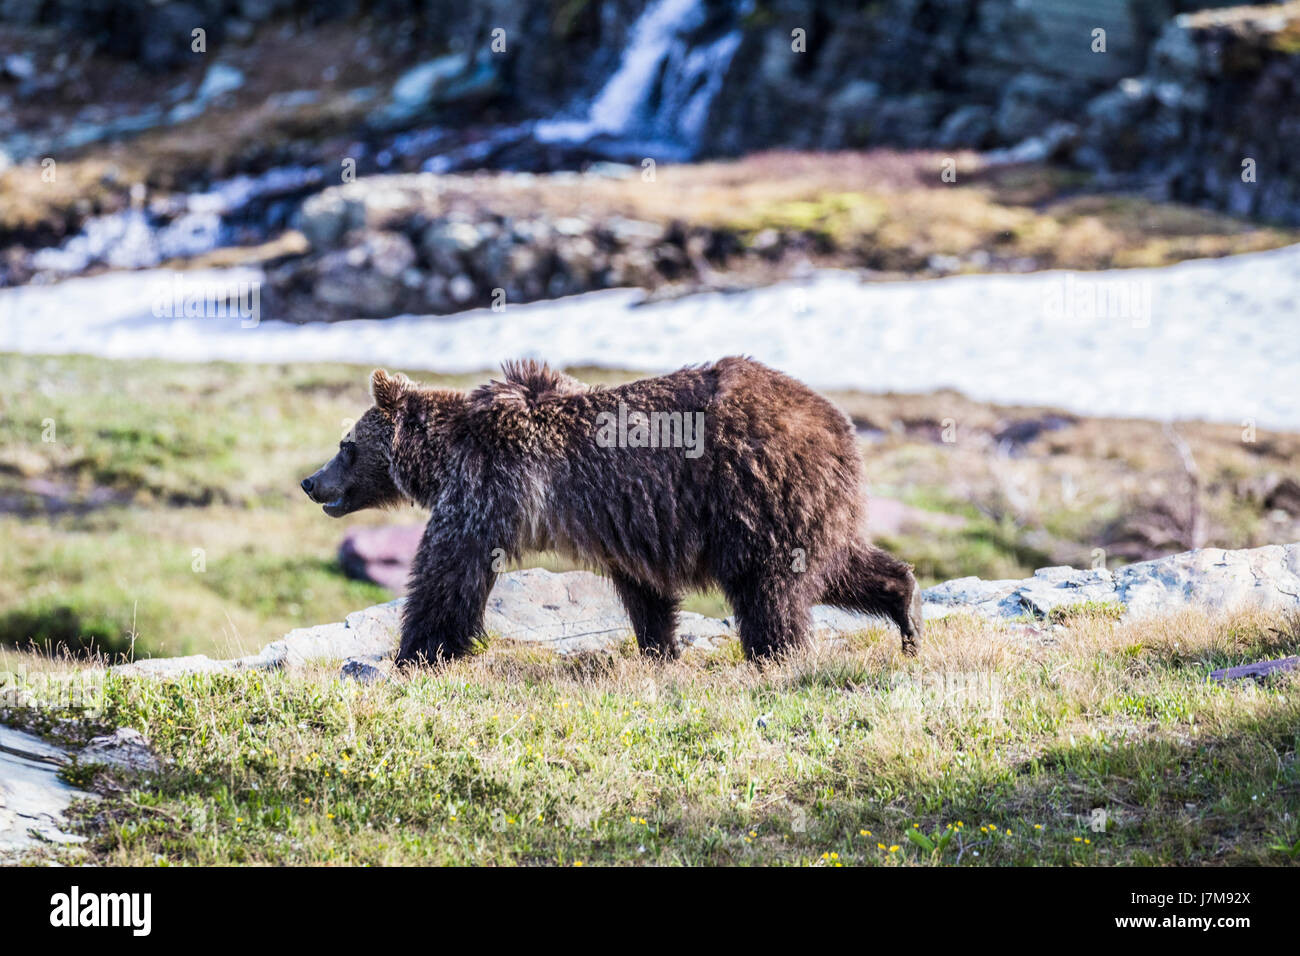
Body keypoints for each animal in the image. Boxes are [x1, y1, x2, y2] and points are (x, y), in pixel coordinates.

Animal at [300, 358, 922, 665]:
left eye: (345, 444)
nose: (310, 481)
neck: (444, 457)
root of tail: (837, 425)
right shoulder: (627, 523)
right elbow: (645, 593)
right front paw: (659, 651)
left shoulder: (489, 492)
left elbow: (448, 571)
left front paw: (417, 651)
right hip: (806, 507)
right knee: (839, 564)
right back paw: (907, 612)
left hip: (756, 497)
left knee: (768, 589)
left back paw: (776, 655)